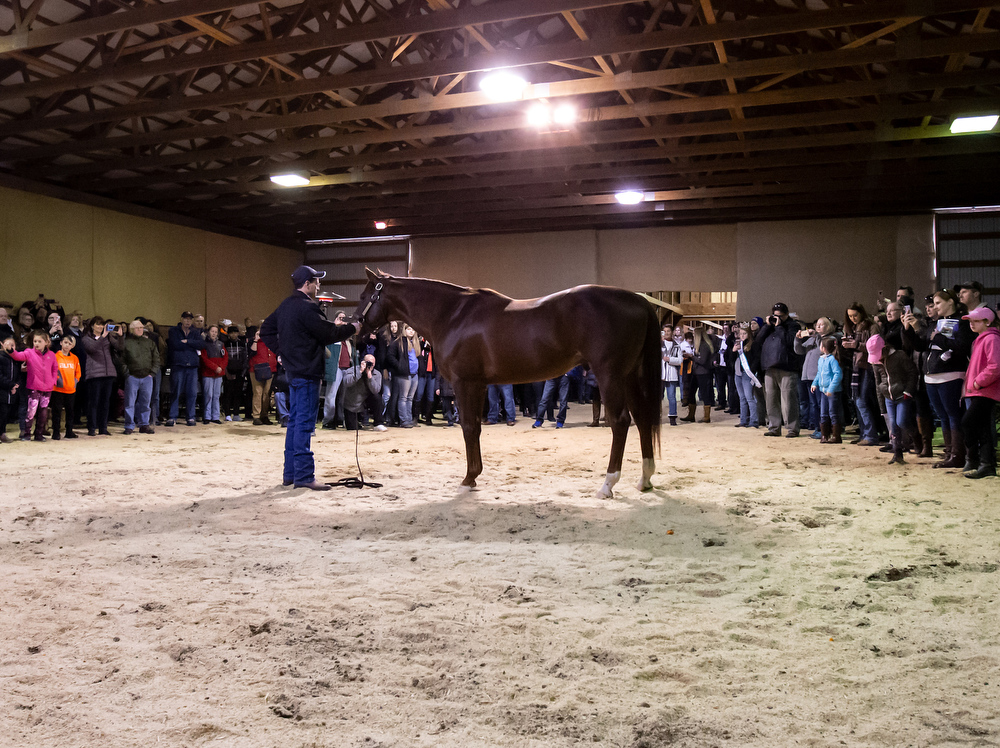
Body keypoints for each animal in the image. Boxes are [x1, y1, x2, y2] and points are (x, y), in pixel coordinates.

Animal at [353, 269, 661, 498]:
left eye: (365, 295)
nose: (355, 330)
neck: (452, 314)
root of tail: (639, 301)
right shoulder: (479, 385)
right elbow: (475, 429)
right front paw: (474, 477)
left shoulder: (465, 383)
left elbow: (468, 427)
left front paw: (467, 480)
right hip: (631, 375)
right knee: (643, 419)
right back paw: (644, 479)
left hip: (611, 375)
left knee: (620, 422)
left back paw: (608, 485)